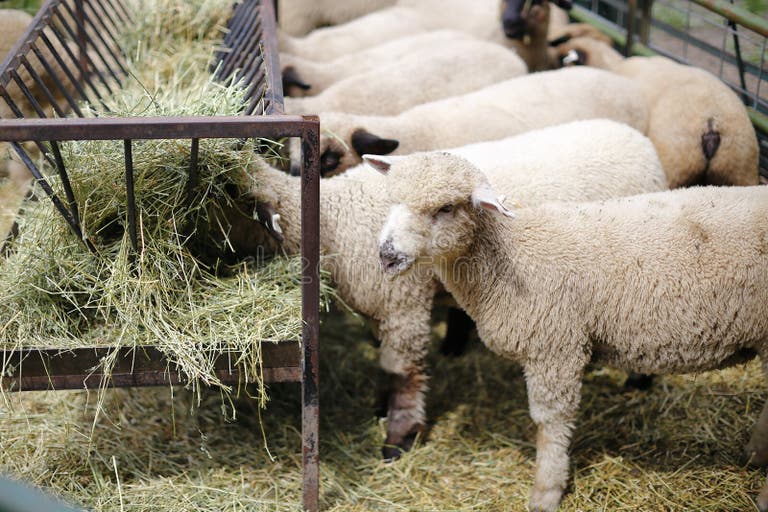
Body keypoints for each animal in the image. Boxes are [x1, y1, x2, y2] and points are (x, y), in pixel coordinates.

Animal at [247, 119, 668, 459]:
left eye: (446, 209)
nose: (388, 255)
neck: (337, 217)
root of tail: (638, 139)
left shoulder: (405, 303)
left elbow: (404, 373)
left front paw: (399, 437)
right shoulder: (381, 304)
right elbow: (385, 363)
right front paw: (380, 407)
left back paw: (640, 381)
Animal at [375, 152, 768, 511]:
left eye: (445, 208)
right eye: (391, 199)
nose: (386, 254)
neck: (511, 253)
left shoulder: (555, 348)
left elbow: (551, 424)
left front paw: (545, 492)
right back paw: (754, 455)